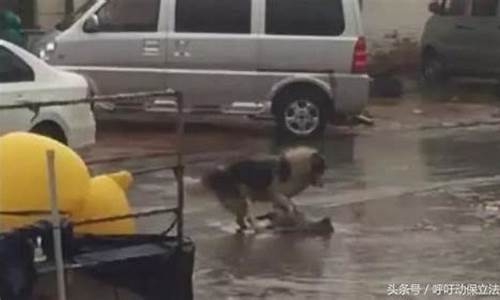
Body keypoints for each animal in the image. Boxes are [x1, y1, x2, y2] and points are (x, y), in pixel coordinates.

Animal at [186, 146, 326, 231]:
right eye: (320, 170)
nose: (323, 184)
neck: (296, 167)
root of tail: (217, 174)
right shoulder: (276, 193)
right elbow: (289, 204)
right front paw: (292, 215)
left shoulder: (279, 198)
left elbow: (289, 205)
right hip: (241, 199)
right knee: (246, 218)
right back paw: (257, 228)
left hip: (240, 203)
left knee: (240, 221)